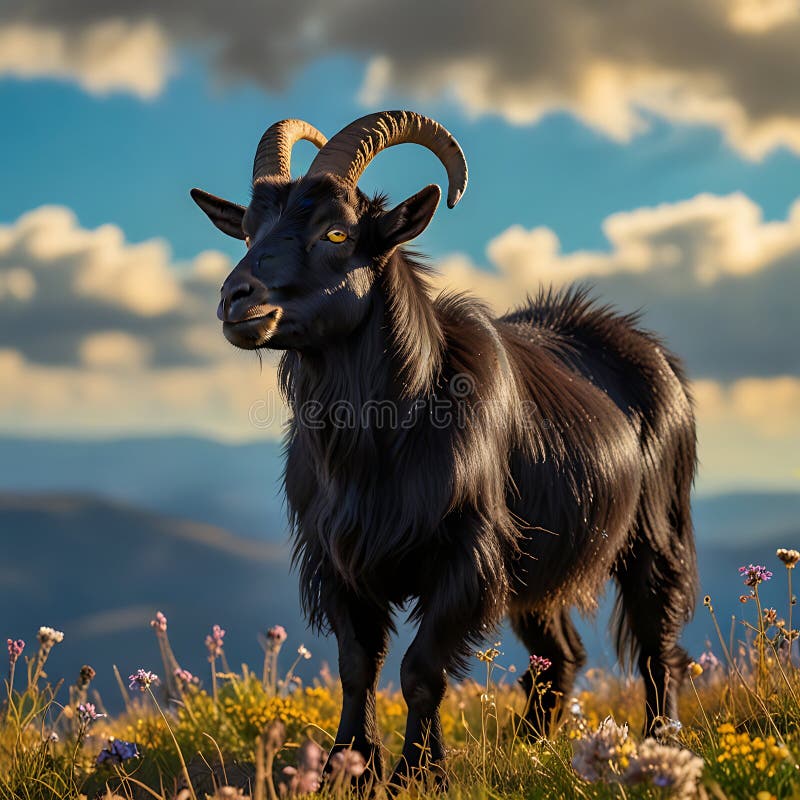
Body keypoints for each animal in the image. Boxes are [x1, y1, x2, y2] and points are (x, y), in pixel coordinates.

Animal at [191, 110, 698, 787]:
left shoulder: (467, 554)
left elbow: (421, 670)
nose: (236, 299)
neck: (383, 439)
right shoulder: (337, 560)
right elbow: (359, 666)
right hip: (536, 560)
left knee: (657, 648)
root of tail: (649, 352)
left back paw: (659, 748)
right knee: (560, 654)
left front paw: (418, 774)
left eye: (336, 231)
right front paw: (349, 771)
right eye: (248, 229)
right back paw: (527, 748)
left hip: (655, 533)